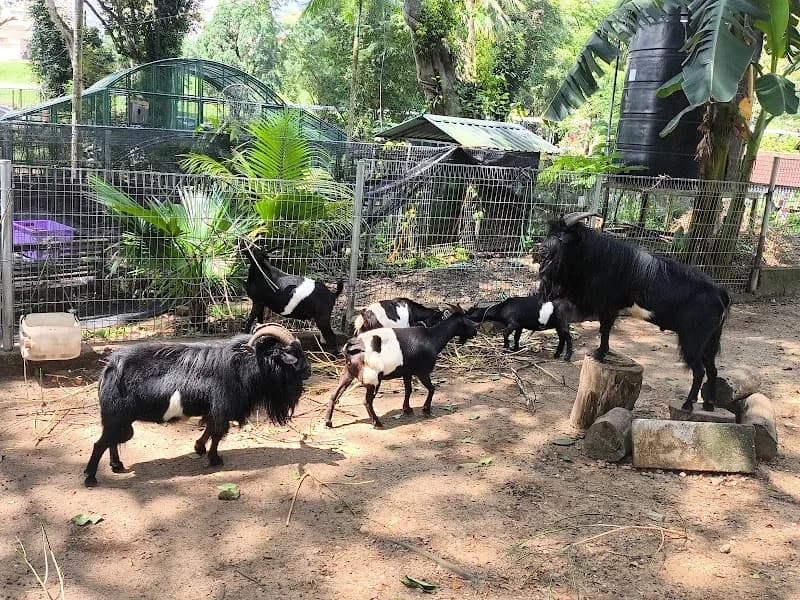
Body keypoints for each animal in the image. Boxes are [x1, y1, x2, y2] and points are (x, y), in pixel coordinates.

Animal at [83, 324, 309, 487]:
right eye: (294, 355)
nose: (308, 371)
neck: (244, 365)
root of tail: (109, 370)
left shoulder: (213, 409)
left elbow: (209, 428)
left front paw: (199, 448)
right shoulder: (221, 407)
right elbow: (218, 433)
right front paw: (215, 459)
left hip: (119, 421)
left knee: (111, 441)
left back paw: (116, 465)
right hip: (117, 418)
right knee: (100, 443)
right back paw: (90, 478)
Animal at [325, 308, 478, 429]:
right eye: (467, 322)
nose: (476, 331)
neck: (432, 338)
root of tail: (351, 347)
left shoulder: (407, 372)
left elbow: (408, 390)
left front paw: (407, 409)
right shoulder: (422, 371)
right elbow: (432, 388)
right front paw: (426, 410)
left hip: (348, 373)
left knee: (334, 395)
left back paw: (328, 422)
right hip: (373, 378)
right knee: (367, 401)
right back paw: (377, 423)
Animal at [539, 212, 730, 411]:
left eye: (561, 236)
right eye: (550, 232)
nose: (541, 250)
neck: (600, 257)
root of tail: (720, 293)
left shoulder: (608, 306)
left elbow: (604, 329)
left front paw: (600, 353)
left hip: (693, 340)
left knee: (699, 371)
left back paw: (687, 404)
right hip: (711, 340)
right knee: (712, 369)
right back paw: (708, 405)